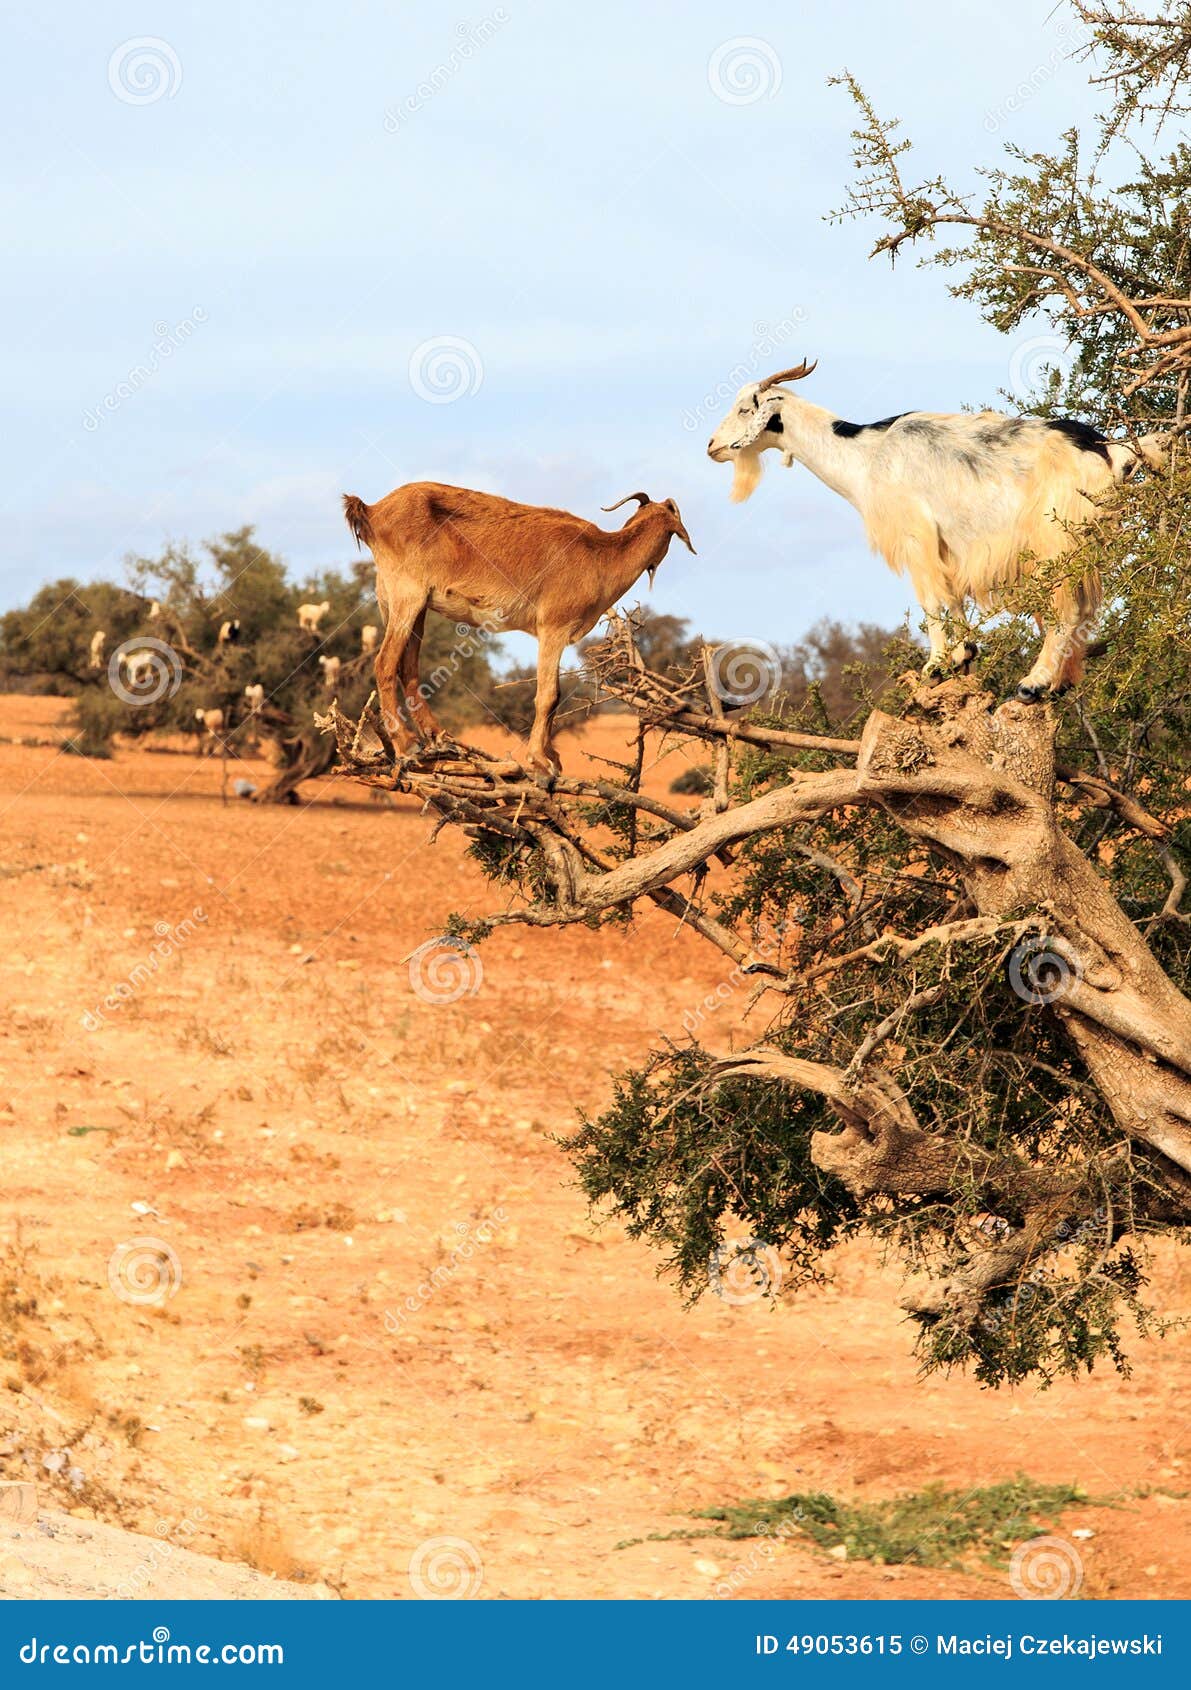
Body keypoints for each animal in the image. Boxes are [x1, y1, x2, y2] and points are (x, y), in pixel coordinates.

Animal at [342, 484, 694, 770]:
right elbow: (549, 695)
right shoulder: (553, 628)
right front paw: (541, 762)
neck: (601, 555)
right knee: (385, 663)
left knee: (408, 668)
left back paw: (439, 738)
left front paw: (551, 757)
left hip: (408, 604)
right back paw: (406, 745)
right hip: (407, 596)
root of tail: (372, 510)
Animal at [707, 359, 1167, 699]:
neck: (867, 454)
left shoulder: (916, 534)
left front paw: (934, 665)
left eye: (746, 408)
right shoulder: (949, 544)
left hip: (1056, 540)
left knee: (1066, 611)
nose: (712, 446)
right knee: (1084, 611)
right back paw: (1061, 683)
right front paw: (964, 655)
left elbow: (930, 601)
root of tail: (1111, 452)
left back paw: (1034, 684)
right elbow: (953, 596)